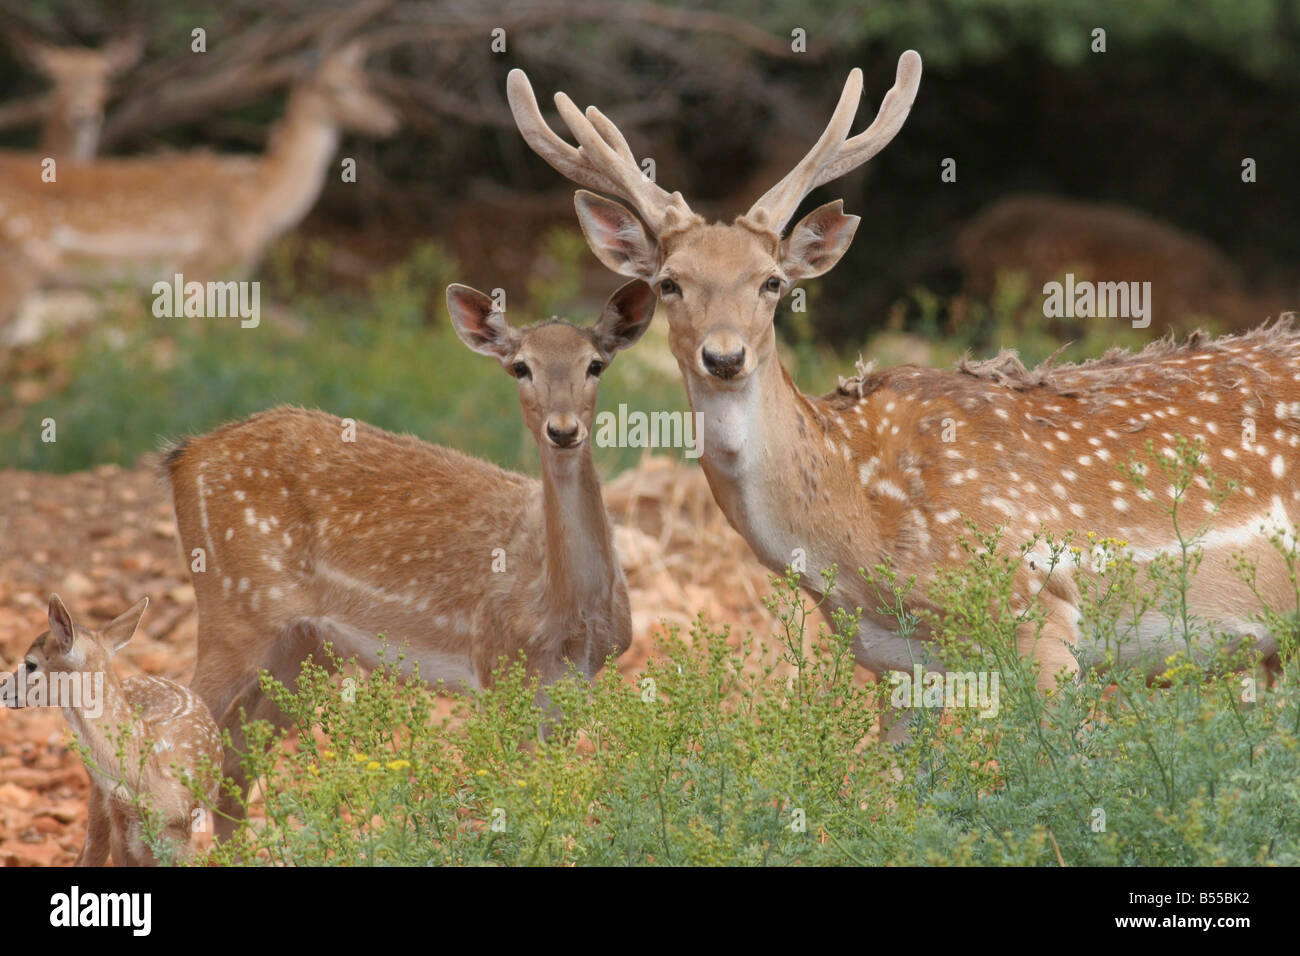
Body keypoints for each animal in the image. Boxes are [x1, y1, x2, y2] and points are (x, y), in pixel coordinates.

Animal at [160, 279, 655, 837]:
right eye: (520, 367)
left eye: (595, 364)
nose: (564, 429)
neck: (568, 611)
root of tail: (183, 456)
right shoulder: (496, 662)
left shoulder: (576, 682)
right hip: (232, 608)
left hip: (301, 647)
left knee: (235, 757)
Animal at [506, 52, 1300, 695]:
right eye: (670, 283)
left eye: (771, 282)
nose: (724, 356)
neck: (856, 535)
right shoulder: (895, 662)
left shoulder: (1041, 615)